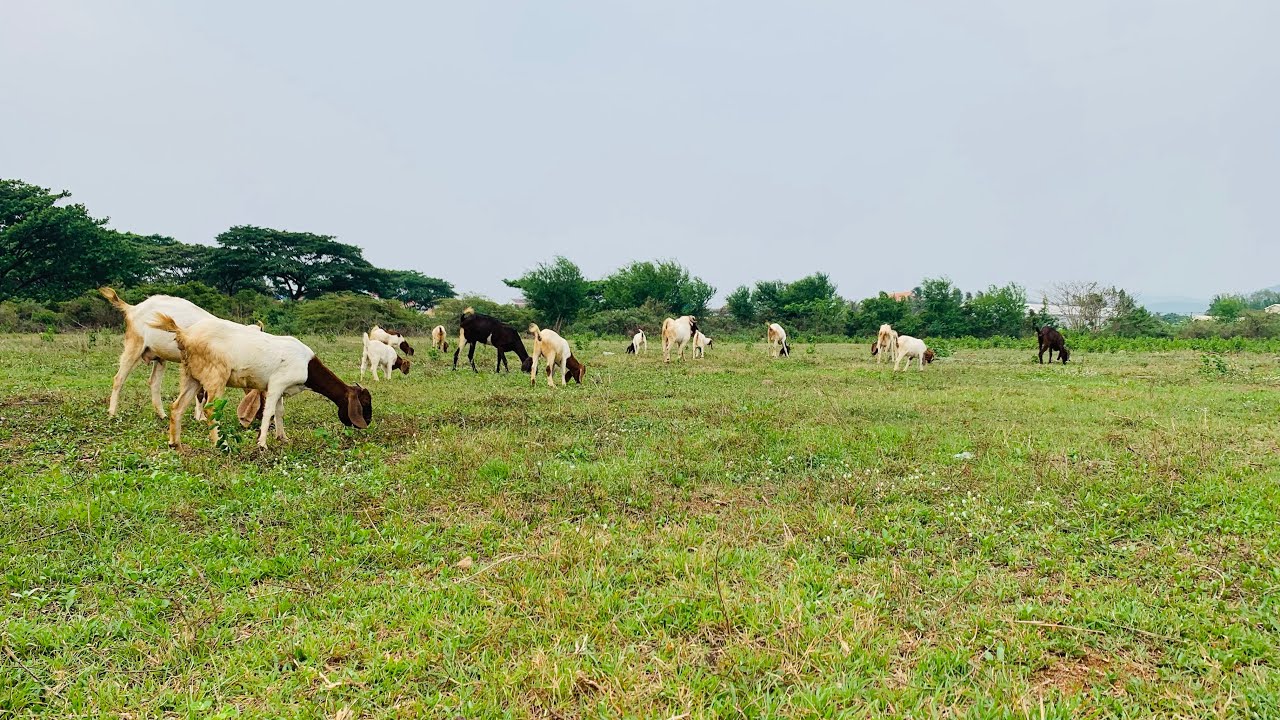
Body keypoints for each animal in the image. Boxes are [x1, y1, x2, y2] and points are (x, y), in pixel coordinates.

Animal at [150, 314, 372, 449]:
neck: (307, 365)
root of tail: (185, 335)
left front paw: (283, 438)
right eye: (365, 403)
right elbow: (269, 411)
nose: (367, 423)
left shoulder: (282, 389)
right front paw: (262, 444)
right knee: (211, 409)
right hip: (215, 376)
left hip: (191, 375)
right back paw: (220, 444)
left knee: (177, 407)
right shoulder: (276, 384)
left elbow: (280, 411)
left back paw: (175, 444)